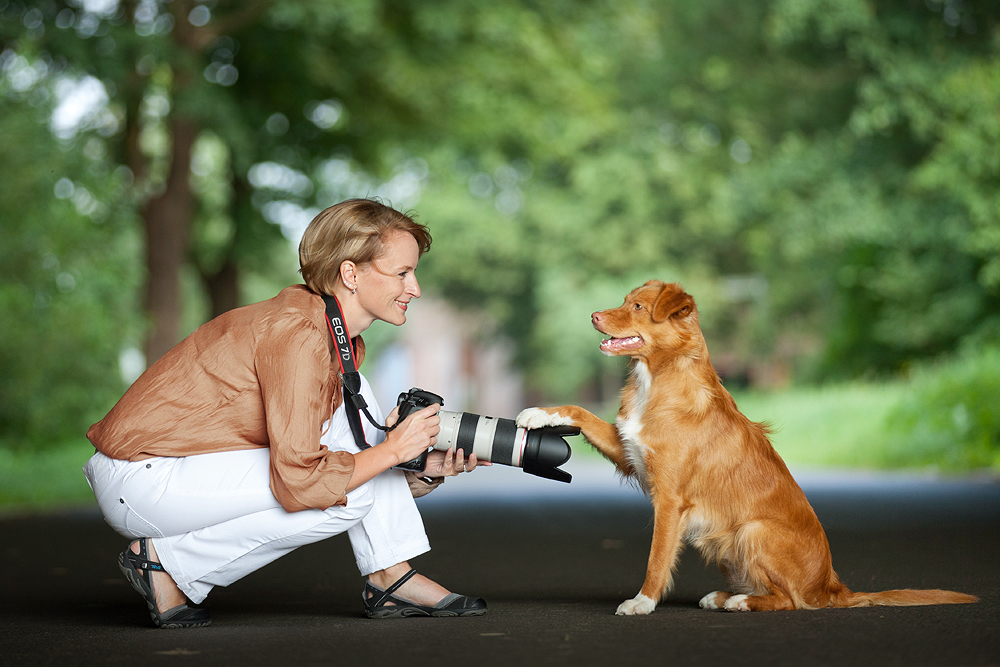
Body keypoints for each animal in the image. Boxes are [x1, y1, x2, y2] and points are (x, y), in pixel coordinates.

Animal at [516, 282, 976, 616]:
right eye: (624, 302)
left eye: (639, 307)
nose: (593, 316)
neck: (659, 378)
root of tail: (832, 587)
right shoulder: (629, 448)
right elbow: (580, 412)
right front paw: (539, 414)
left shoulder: (670, 500)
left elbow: (656, 557)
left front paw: (642, 602)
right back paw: (723, 597)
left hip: (752, 530)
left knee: (790, 601)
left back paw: (738, 601)